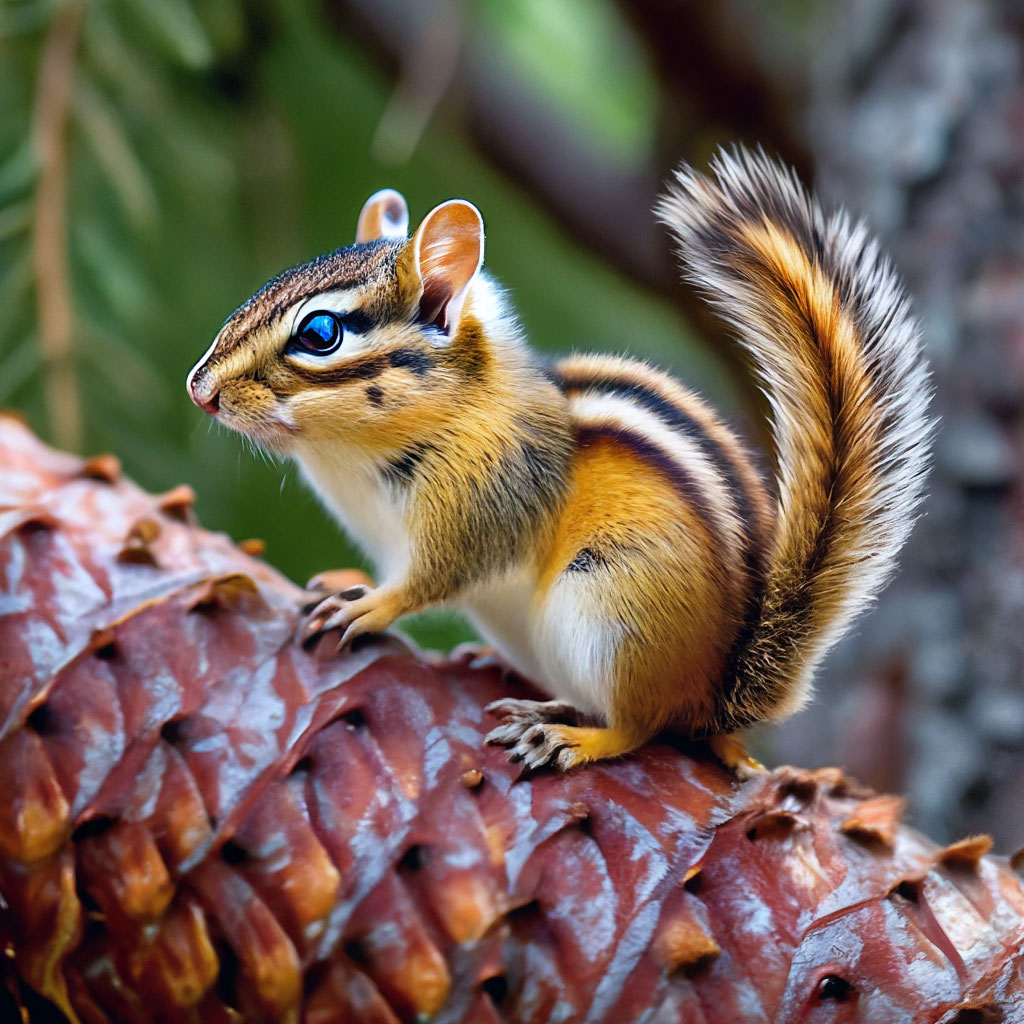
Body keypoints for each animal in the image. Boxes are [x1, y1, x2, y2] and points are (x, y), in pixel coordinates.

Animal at [187, 148, 931, 774]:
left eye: (320, 333)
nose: (200, 389)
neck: (347, 461)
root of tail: (724, 693)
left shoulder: (484, 502)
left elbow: (431, 579)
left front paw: (371, 605)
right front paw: (343, 580)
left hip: (609, 608)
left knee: (642, 726)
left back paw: (572, 736)